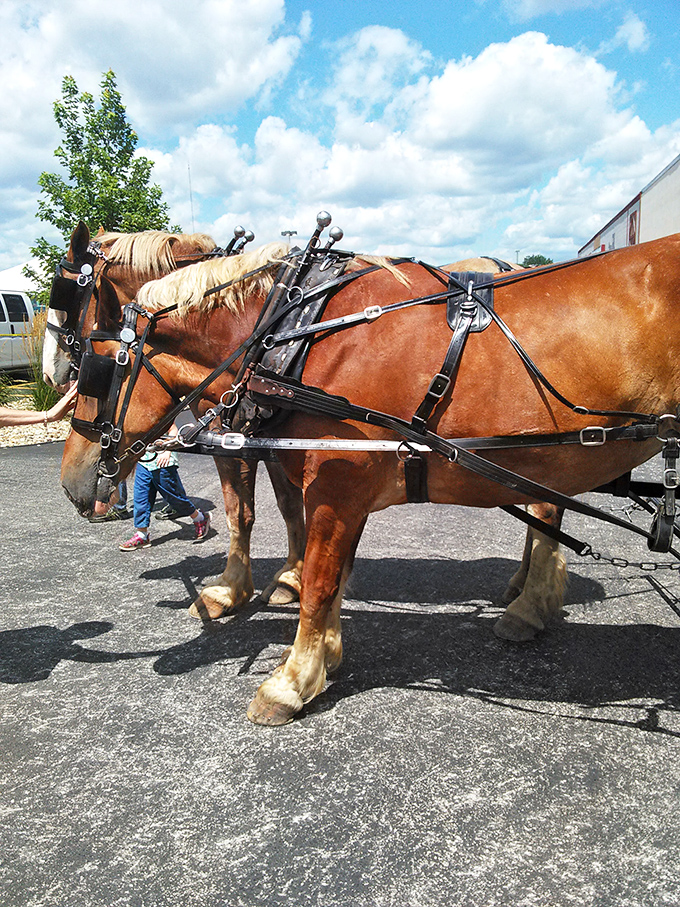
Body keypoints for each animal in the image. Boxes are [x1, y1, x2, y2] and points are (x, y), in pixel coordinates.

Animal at [44, 223, 306, 617]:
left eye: (62, 292)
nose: (49, 373)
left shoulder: (234, 438)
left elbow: (241, 510)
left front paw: (231, 589)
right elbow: (286, 506)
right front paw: (290, 578)